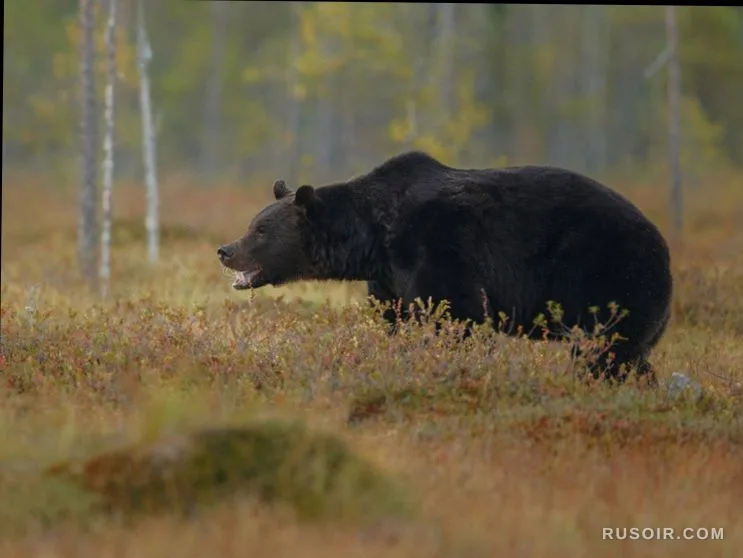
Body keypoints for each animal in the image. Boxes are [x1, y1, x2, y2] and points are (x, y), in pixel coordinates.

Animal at [217, 151, 673, 385]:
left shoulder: (439, 246)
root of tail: (663, 245)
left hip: (610, 276)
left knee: (606, 349)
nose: (225, 250)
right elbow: (398, 319)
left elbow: (458, 314)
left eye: (260, 230)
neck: (374, 238)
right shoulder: (389, 278)